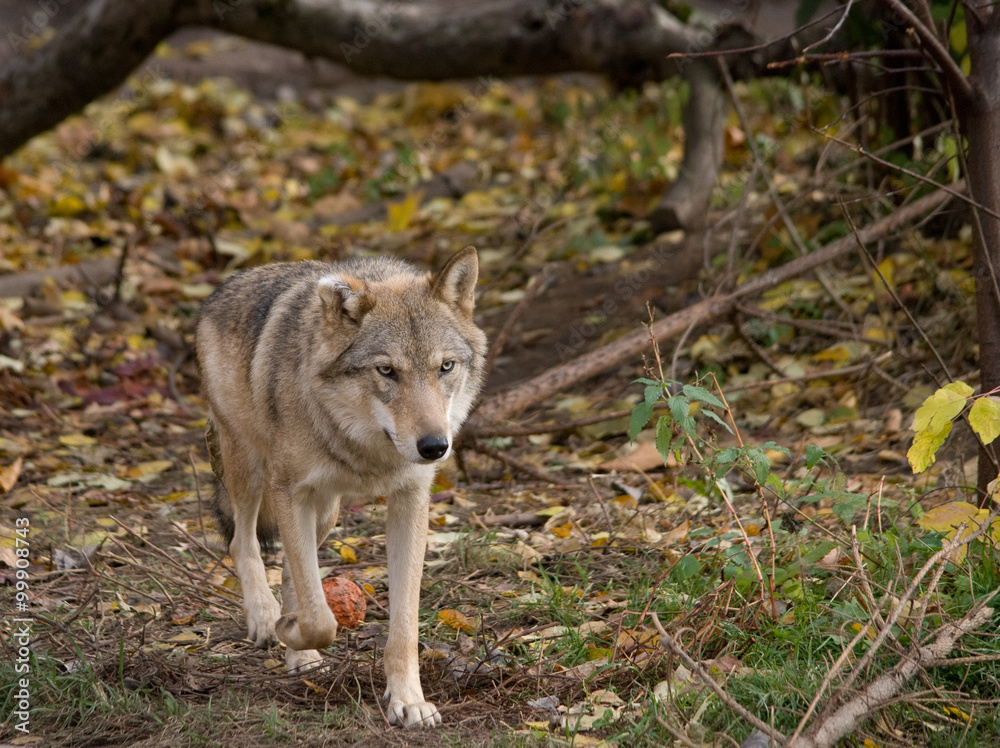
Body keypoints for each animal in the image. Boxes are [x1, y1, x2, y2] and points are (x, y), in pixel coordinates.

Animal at [196, 246, 487, 728]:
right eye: (386, 371)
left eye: (445, 366)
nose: (434, 447)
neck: (364, 449)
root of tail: (227, 286)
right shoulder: (289, 491)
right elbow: (320, 618)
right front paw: (288, 629)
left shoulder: (410, 501)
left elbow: (403, 624)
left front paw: (408, 701)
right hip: (249, 469)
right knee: (243, 542)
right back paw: (268, 620)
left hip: (325, 512)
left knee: (292, 567)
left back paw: (300, 655)